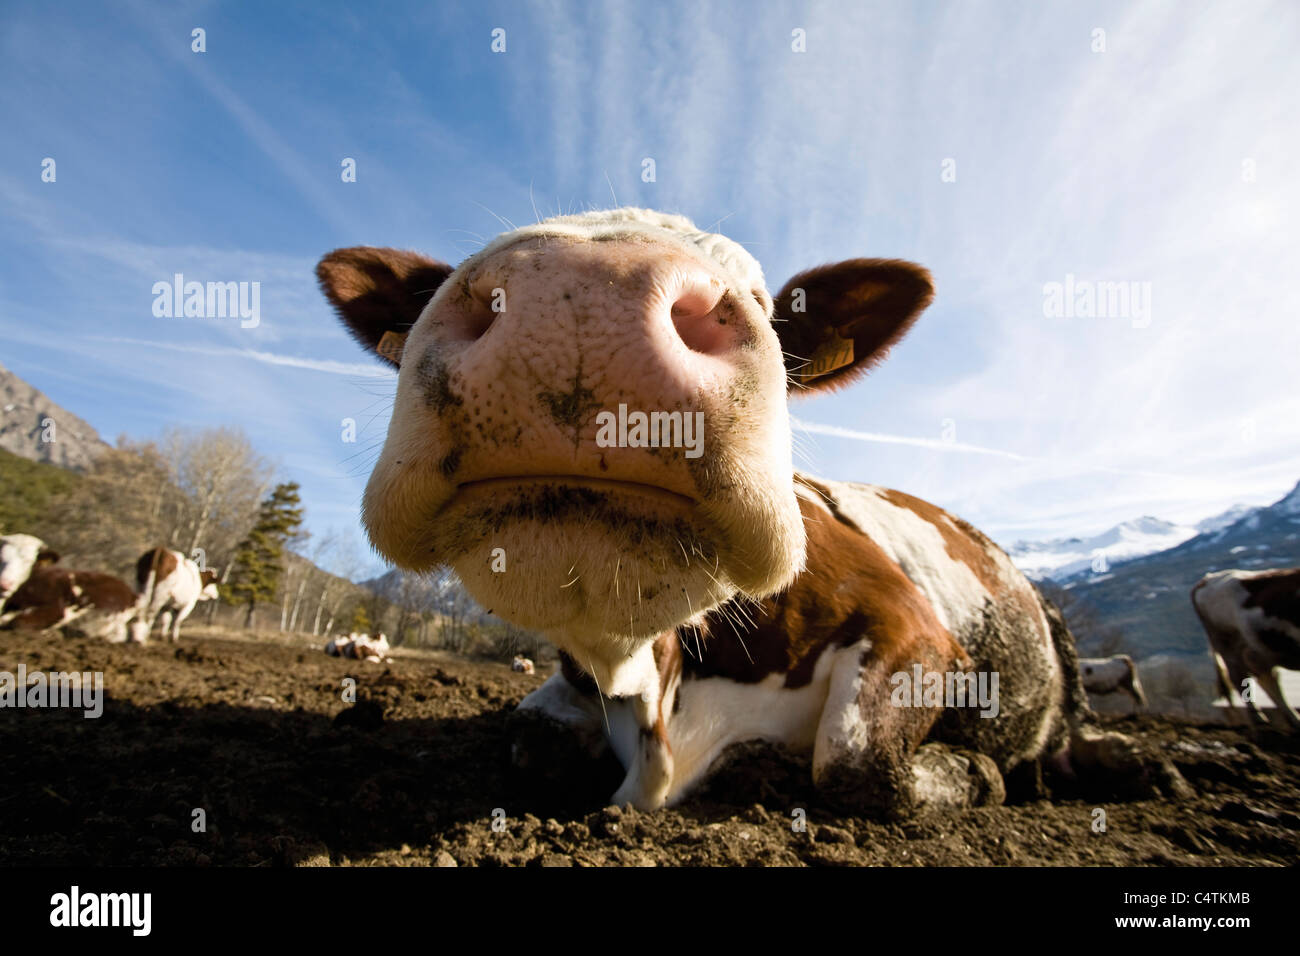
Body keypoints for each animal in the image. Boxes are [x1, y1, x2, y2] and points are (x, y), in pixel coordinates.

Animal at [316, 207, 1185, 815]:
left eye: (770, 304)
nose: (580, 301)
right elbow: (527, 740)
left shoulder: (912, 626)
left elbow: (853, 761)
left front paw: (972, 774)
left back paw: (1147, 765)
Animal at [1192, 568, 1300, 732]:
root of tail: (1207, 579)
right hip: (1226, 644)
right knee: (1239, 677)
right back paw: (1259, 718)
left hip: (1259, 650)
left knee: (1267, 679)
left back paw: (1293, 719)